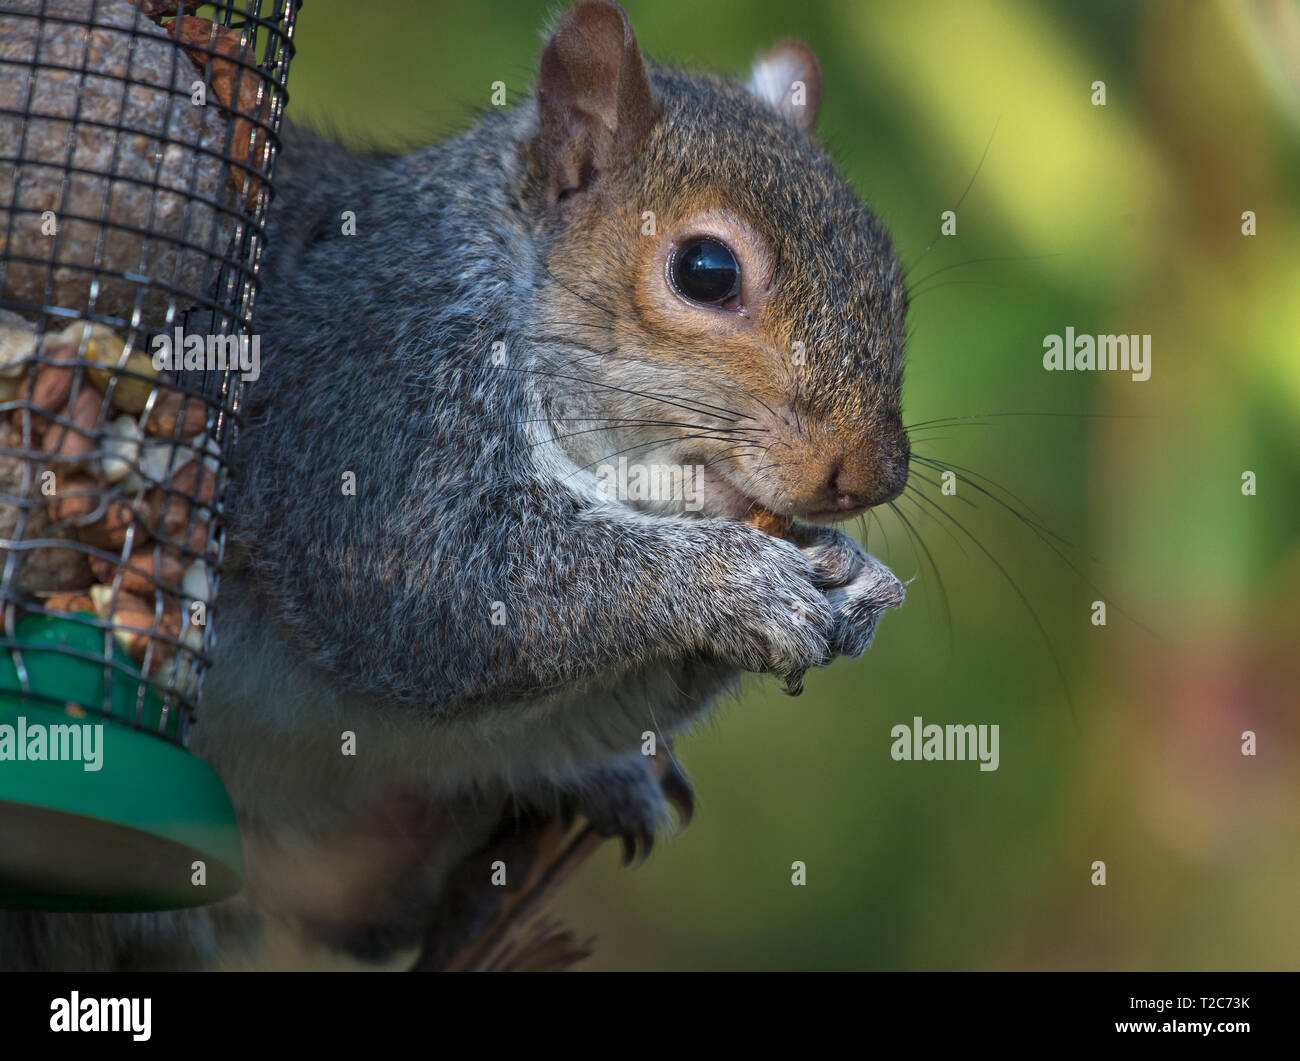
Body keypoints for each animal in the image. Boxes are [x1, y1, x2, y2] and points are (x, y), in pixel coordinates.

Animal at [0, 0, 910, 970]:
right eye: (706, 270)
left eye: (895, 285)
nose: (868, 477)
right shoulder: (372, 379)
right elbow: (444, 588)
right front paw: (735, 582)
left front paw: (857, 581)